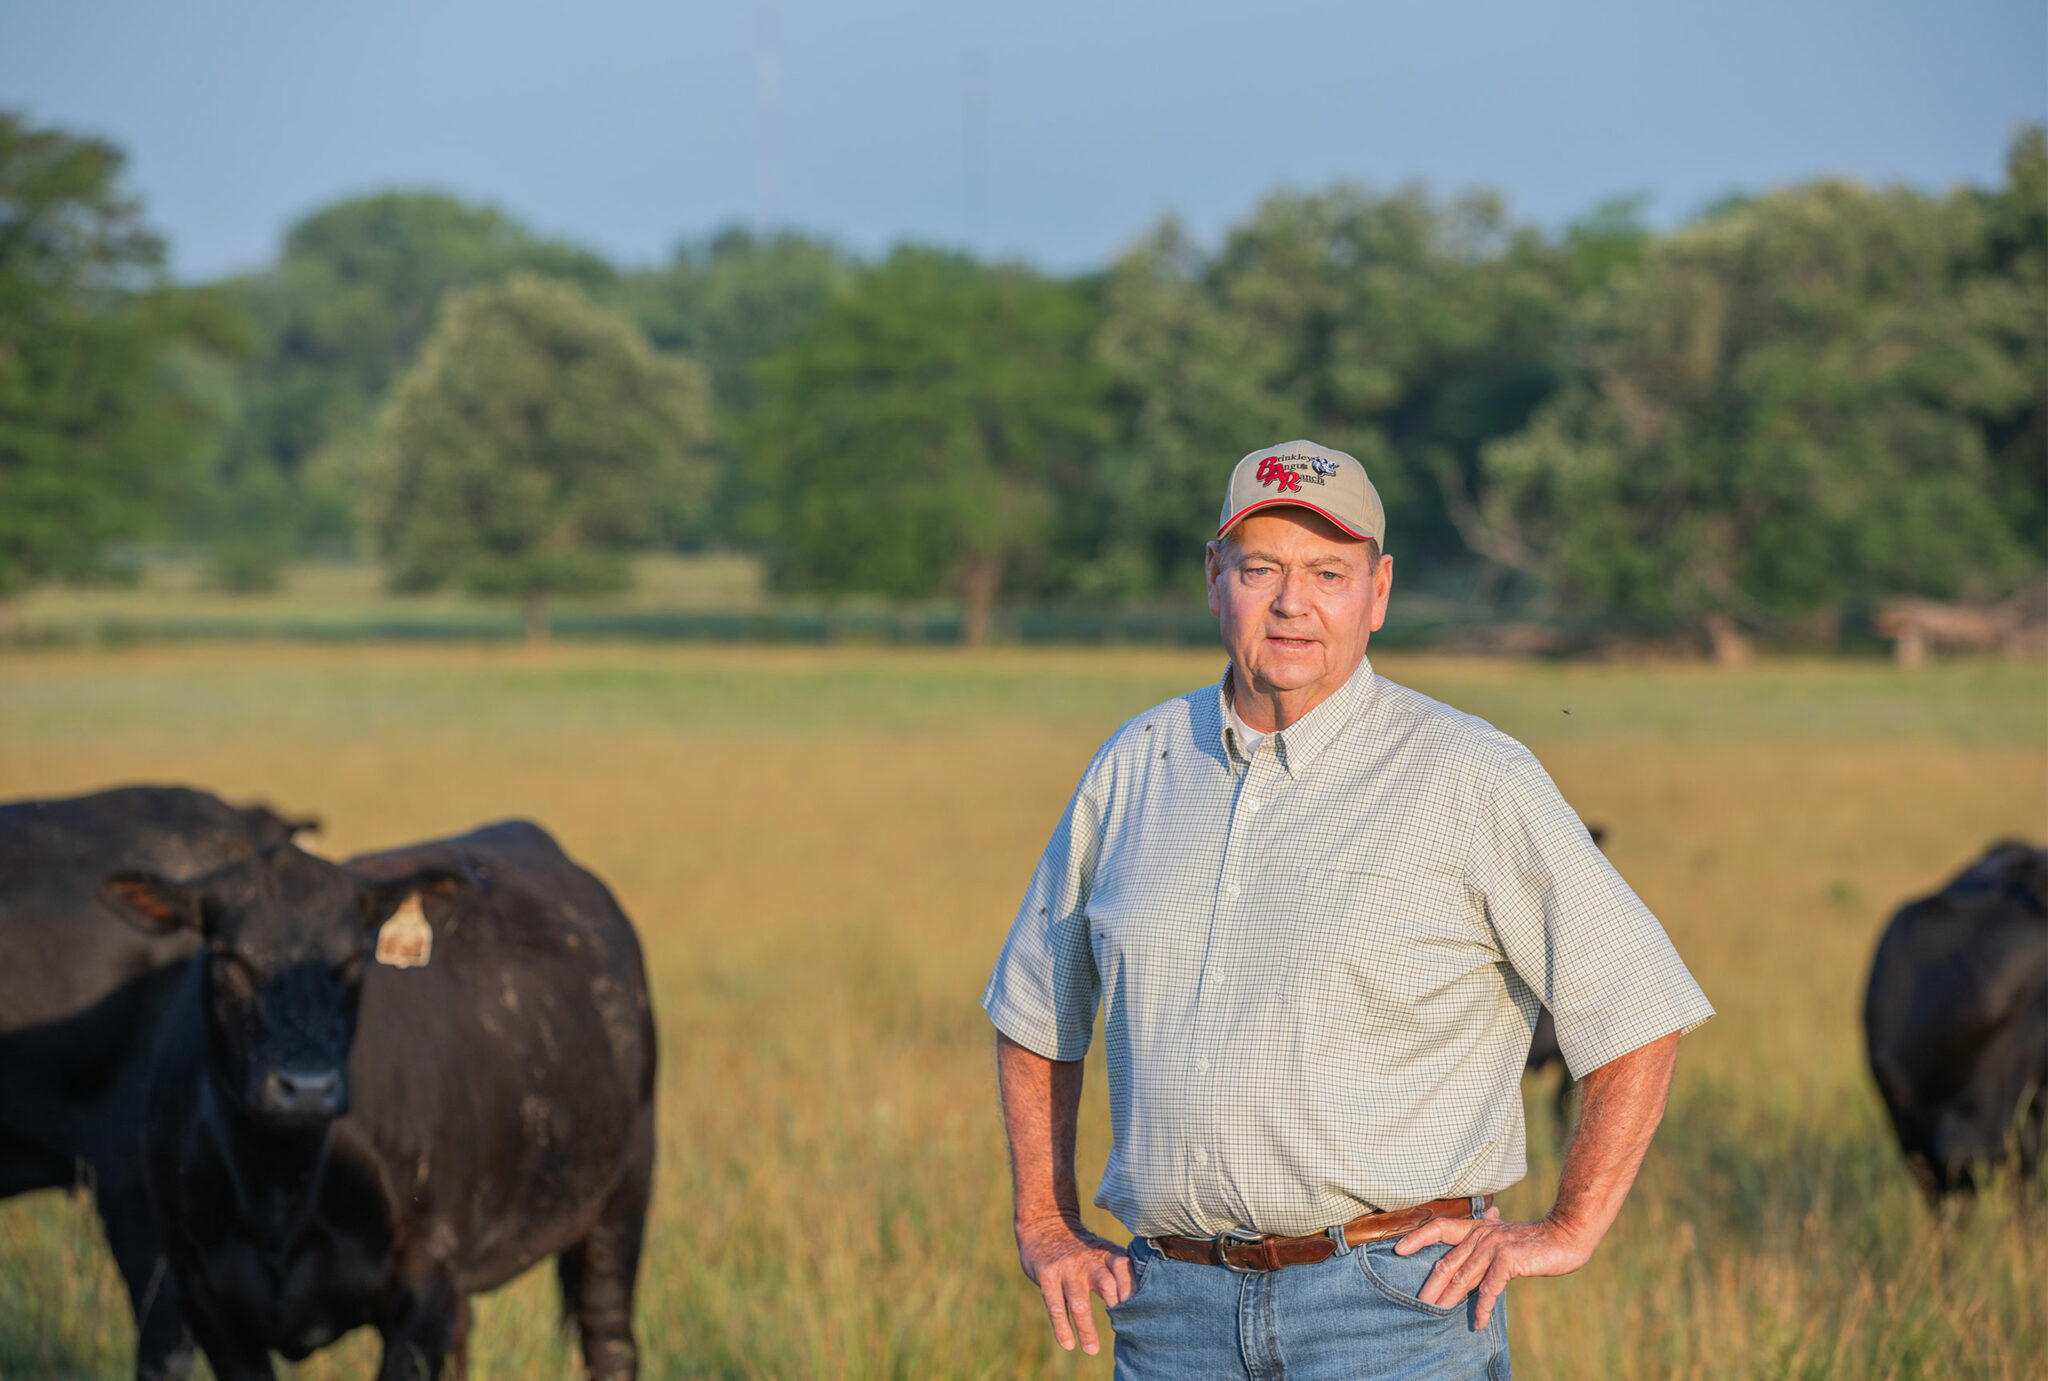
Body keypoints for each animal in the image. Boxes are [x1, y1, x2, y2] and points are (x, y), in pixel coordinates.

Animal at [98, 820, 657, 1381]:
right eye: (230, 958)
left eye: (351, 960)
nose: (306, 1086)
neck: (280, 1190)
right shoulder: (207, 1303)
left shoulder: (424, 1288)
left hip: (619, 1203)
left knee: (609, 1339)